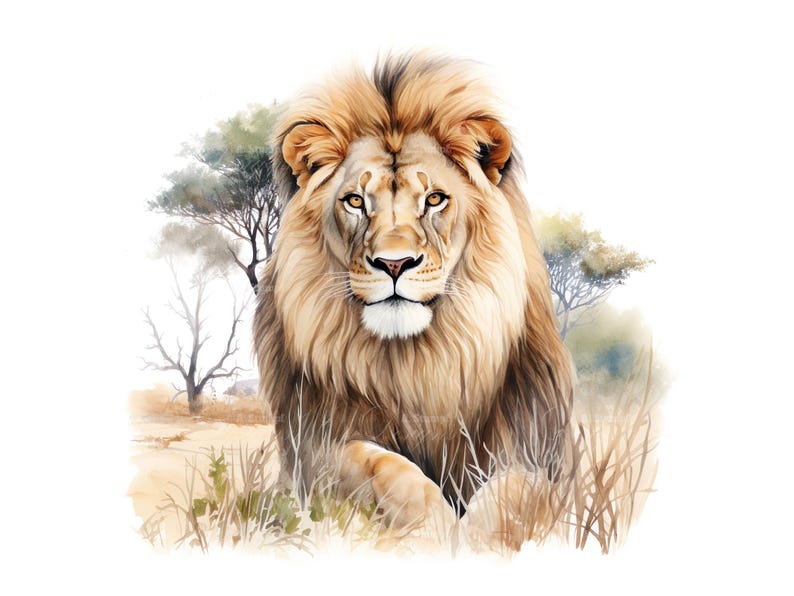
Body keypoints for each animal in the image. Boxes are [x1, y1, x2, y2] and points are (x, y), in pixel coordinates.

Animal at [254, 54, 574, 548]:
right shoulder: (312, 447)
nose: (394, 263)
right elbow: (382, 467)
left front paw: (479, 540)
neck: (418, 364)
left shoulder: (539, 449)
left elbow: (517, 491)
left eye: (435, 199)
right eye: (355, 201)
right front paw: (436, 531)